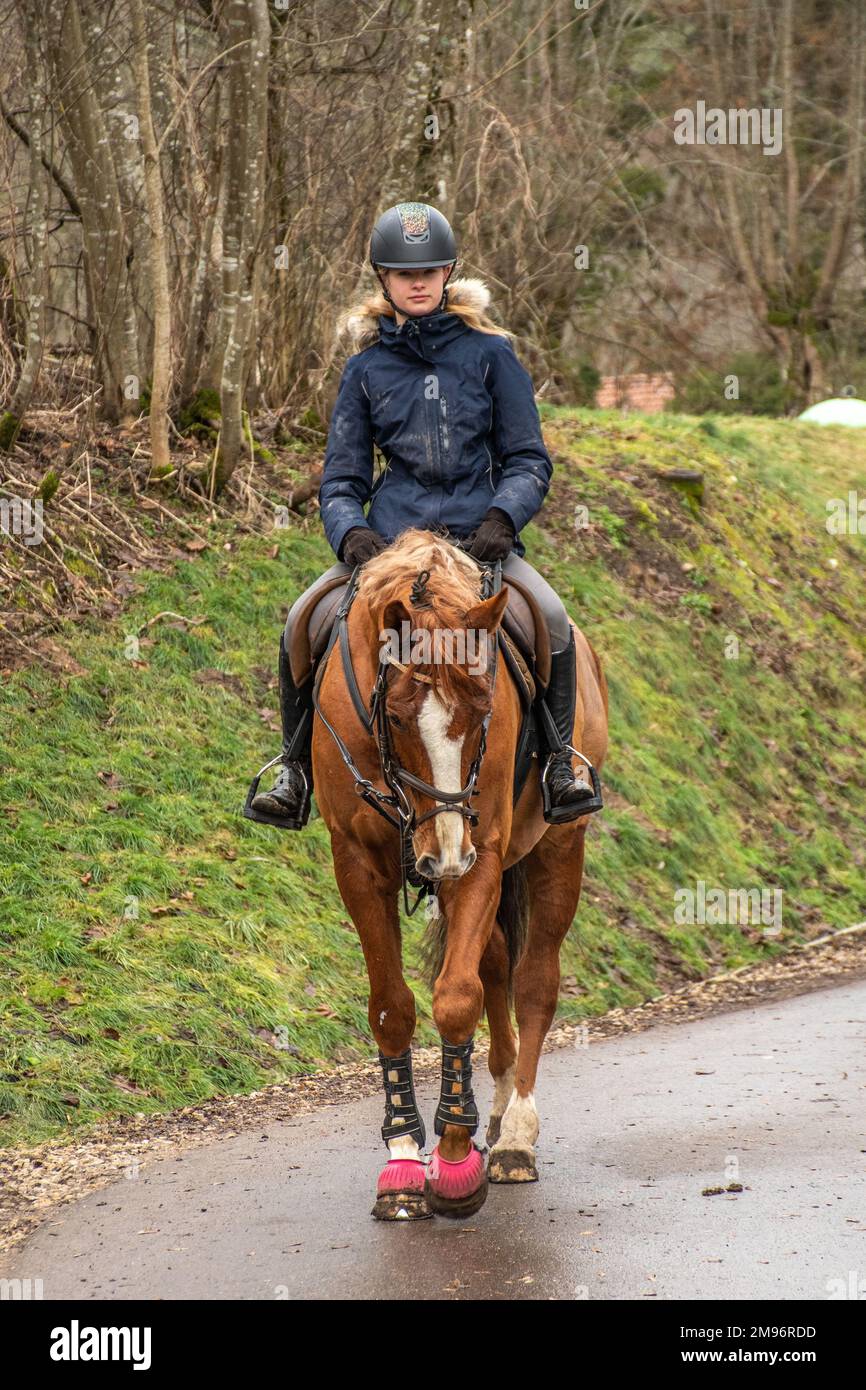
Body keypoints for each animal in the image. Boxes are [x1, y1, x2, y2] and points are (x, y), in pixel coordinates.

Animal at [310, 528, 608, 1220]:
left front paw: (452, 1160)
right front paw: (401, 1160)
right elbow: (392, 1007)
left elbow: (455, 998)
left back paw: (515, 1135)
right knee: (496, 962)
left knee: (534, 981)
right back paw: (494, 1111)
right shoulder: (357, 862)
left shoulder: (483, 854)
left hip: (557, 849)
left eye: (483, 712)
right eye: (395, 717)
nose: (444, 853)